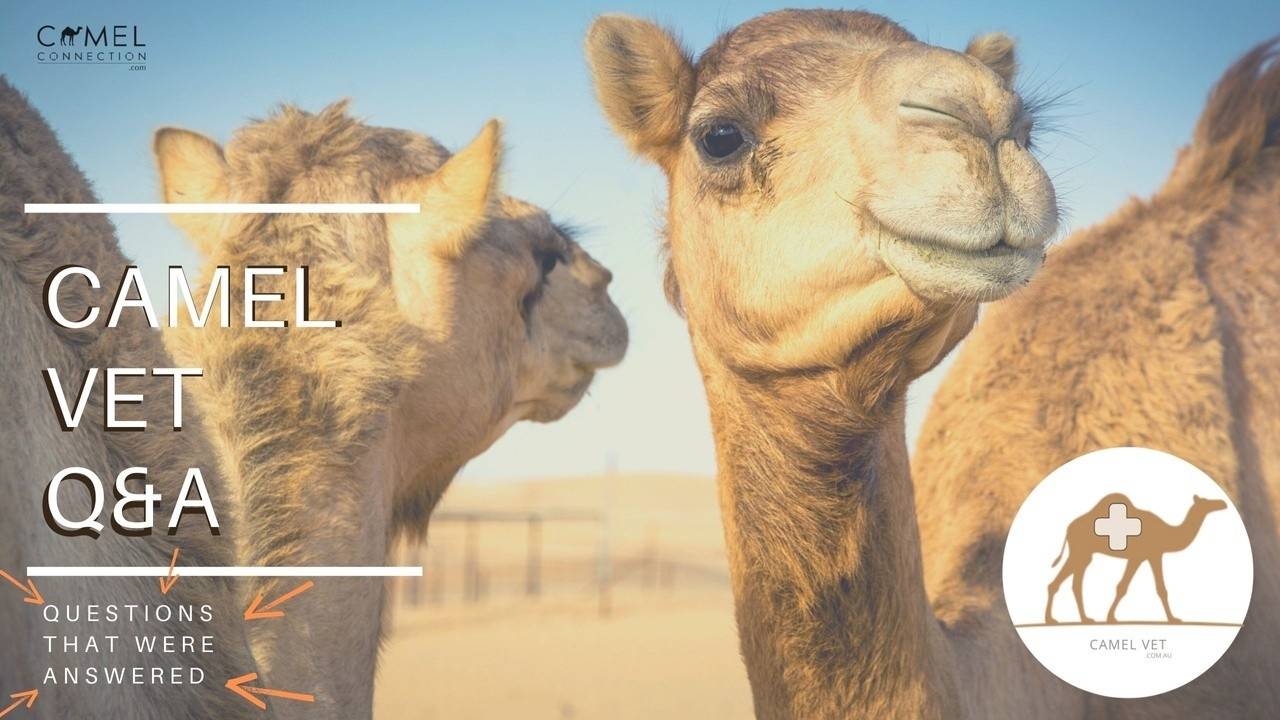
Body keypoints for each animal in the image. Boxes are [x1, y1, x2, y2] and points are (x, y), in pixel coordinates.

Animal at [1045, 493, 1227, 625]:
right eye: (1205, 502)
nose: (1222, 503)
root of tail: (1069, 528)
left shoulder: (1139, 557)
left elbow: (1123, 586)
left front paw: (1111, 617)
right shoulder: (1152, 554)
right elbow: (1157, 588)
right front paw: (1173, 619)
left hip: (1084, 554)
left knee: (1072, 584)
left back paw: (1079, 619)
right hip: (1080, 551)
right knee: (1069, 583)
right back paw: (1055, 619)